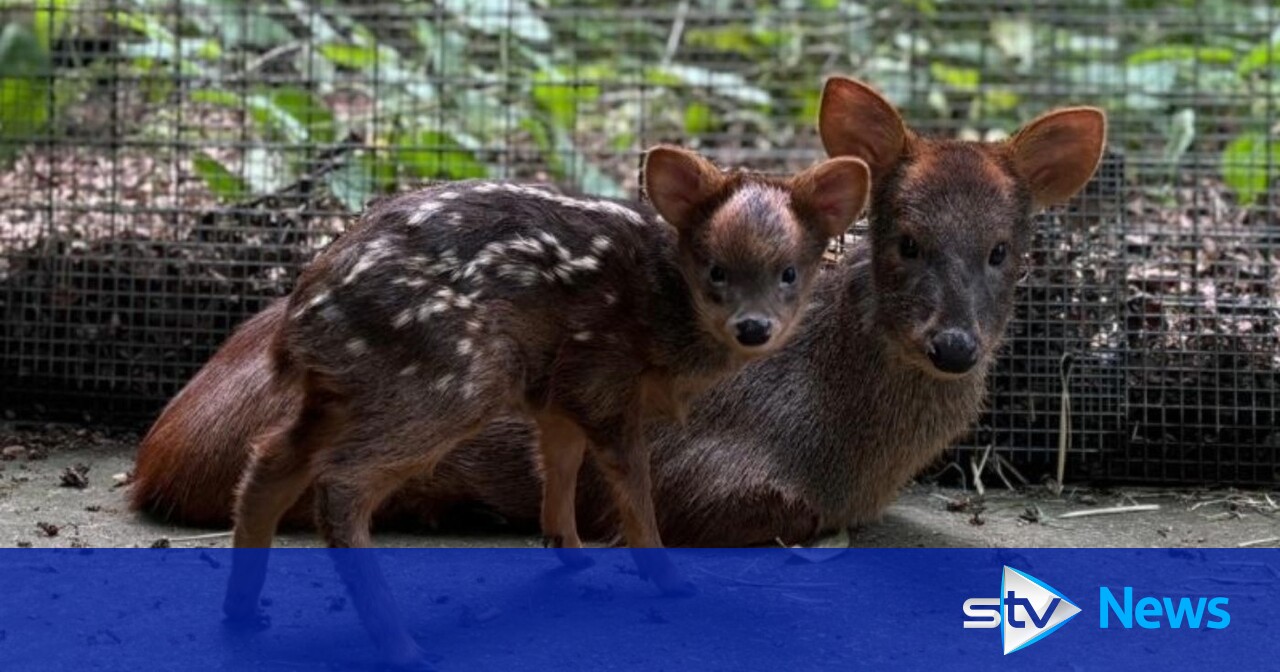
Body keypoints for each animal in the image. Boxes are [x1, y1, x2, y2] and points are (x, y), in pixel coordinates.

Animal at [132, 75, 1105, 549]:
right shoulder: (695, 470)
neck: (845, 453)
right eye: (903, 238)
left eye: (1005, 249)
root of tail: (153, 454)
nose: (955, 344)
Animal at [219, 144, 871, 668]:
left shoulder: (560, 389)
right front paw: (667, 577)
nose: (754, 327)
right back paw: (401, 646)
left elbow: (559, 462)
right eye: (715, 270)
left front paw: (569, 551)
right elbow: (632, 482)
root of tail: (301, 321)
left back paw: (243, 612)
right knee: (340, 484)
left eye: (789, 272)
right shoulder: (603, 375)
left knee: (272, 459)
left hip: (347, 390)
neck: (664, 310)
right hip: (453, 376)